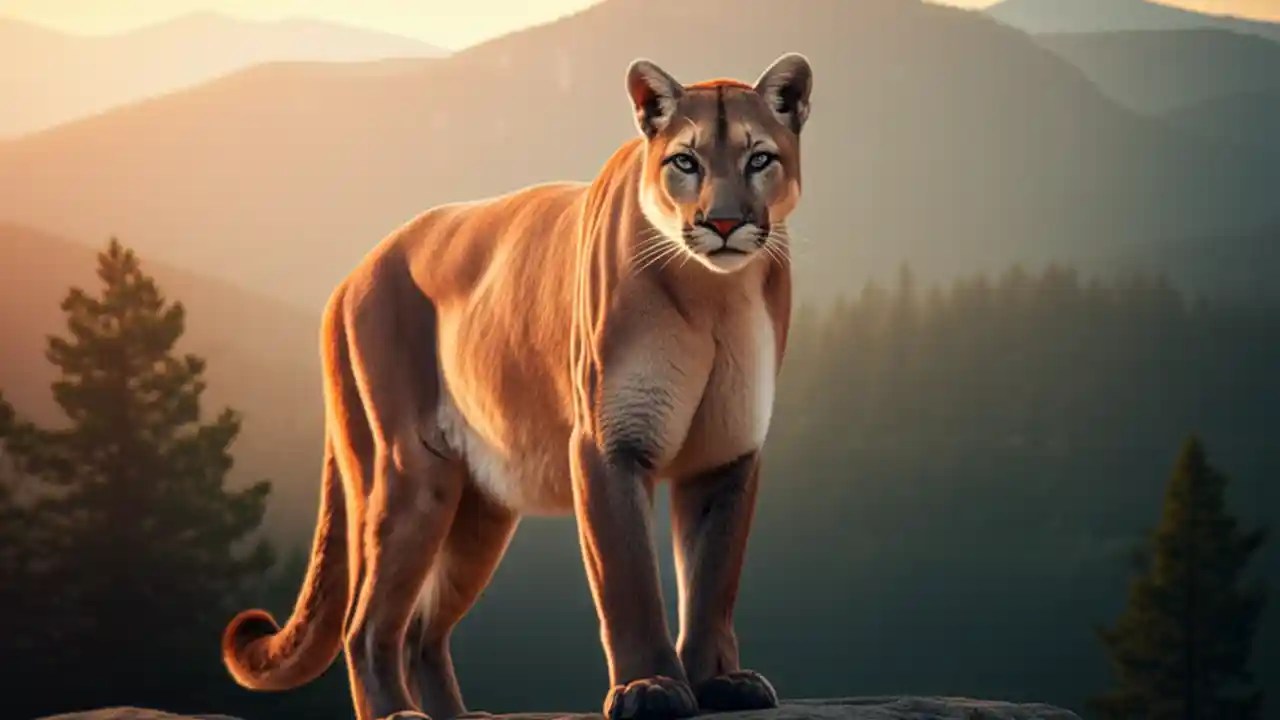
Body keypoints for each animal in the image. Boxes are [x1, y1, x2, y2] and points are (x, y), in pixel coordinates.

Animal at [221, 52, 814, 720]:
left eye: (758, 158)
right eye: (685, 161)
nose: (724, 222)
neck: (713, 293)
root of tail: (352, 275)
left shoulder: (726, 451)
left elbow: (714, 578)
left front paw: (719, 682)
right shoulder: (609, 444)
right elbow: (628, 576)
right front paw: (650, 687)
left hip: (481, 508)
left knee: (423, 627)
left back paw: (455, 714)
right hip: (409, 473)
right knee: (367, 622)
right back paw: (398, 712)